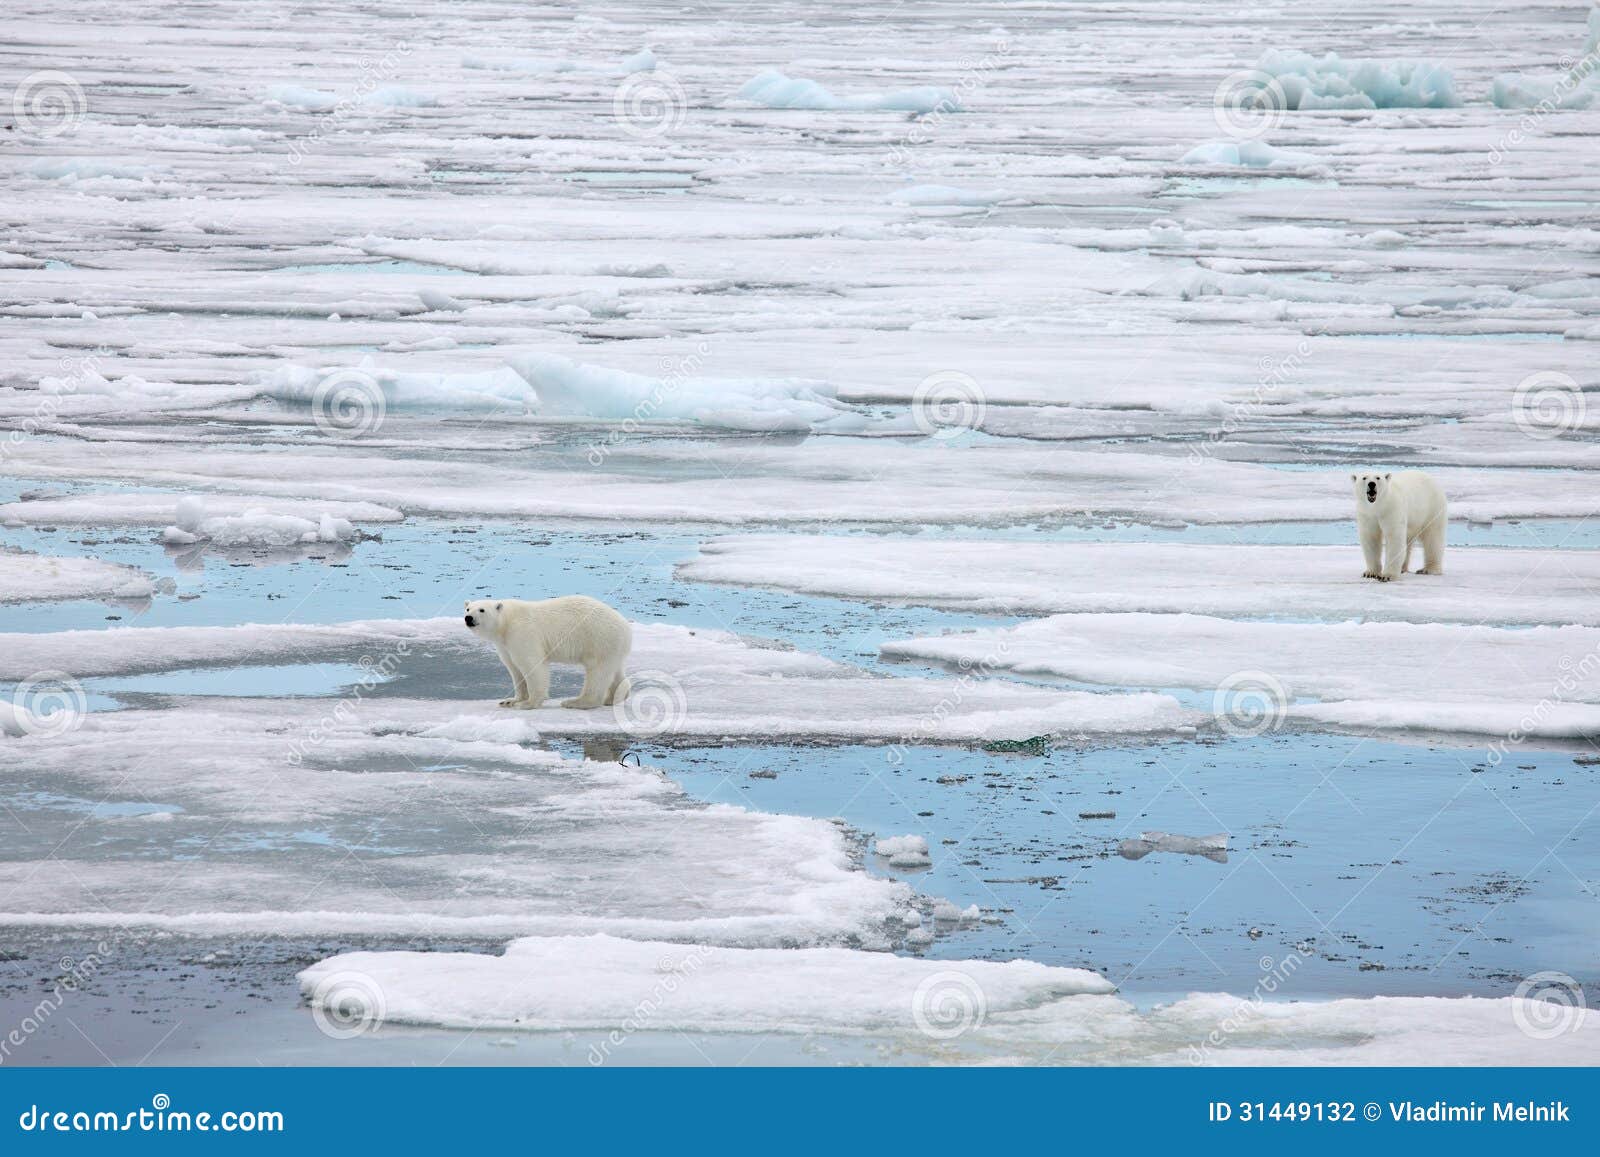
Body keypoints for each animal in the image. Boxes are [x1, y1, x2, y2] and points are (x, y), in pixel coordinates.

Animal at [463, 594, 632, 709]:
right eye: (468, 608)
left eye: (482, 610)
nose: (468, 618)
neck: (506, 622)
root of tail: (625, 626)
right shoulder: (504, 644)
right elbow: (514, 668)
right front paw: (510, 700)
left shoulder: (522, 633)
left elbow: (531, 664)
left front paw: (528, 703)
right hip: (612, 646)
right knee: (614, 671)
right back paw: (613, 697)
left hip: (598, 638)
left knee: (597, 672)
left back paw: (577, 701)